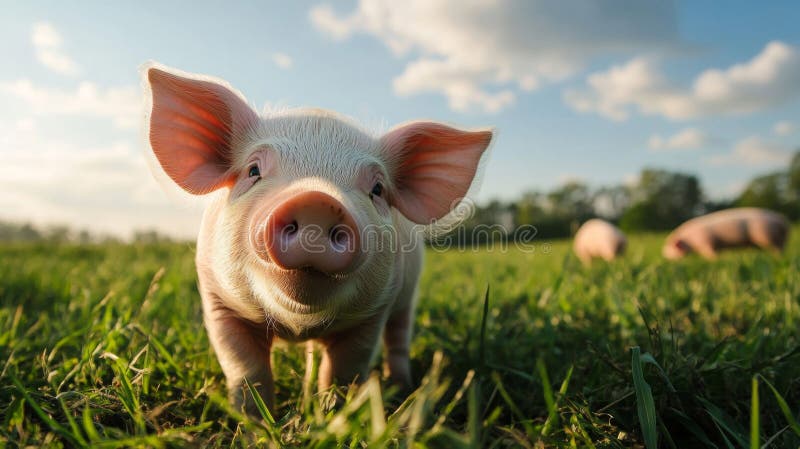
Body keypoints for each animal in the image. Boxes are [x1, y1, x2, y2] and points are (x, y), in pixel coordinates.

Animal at [142, 63, 493, 415]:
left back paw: (400, 387)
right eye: (253, 171)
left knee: (398, 339)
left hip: (408, 295)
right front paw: (253, 422)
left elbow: (342, 370)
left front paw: (330, 414)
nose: (316, 201)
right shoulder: (218, 301)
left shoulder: (374, 312)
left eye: (377, 189)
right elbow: (246, 369)